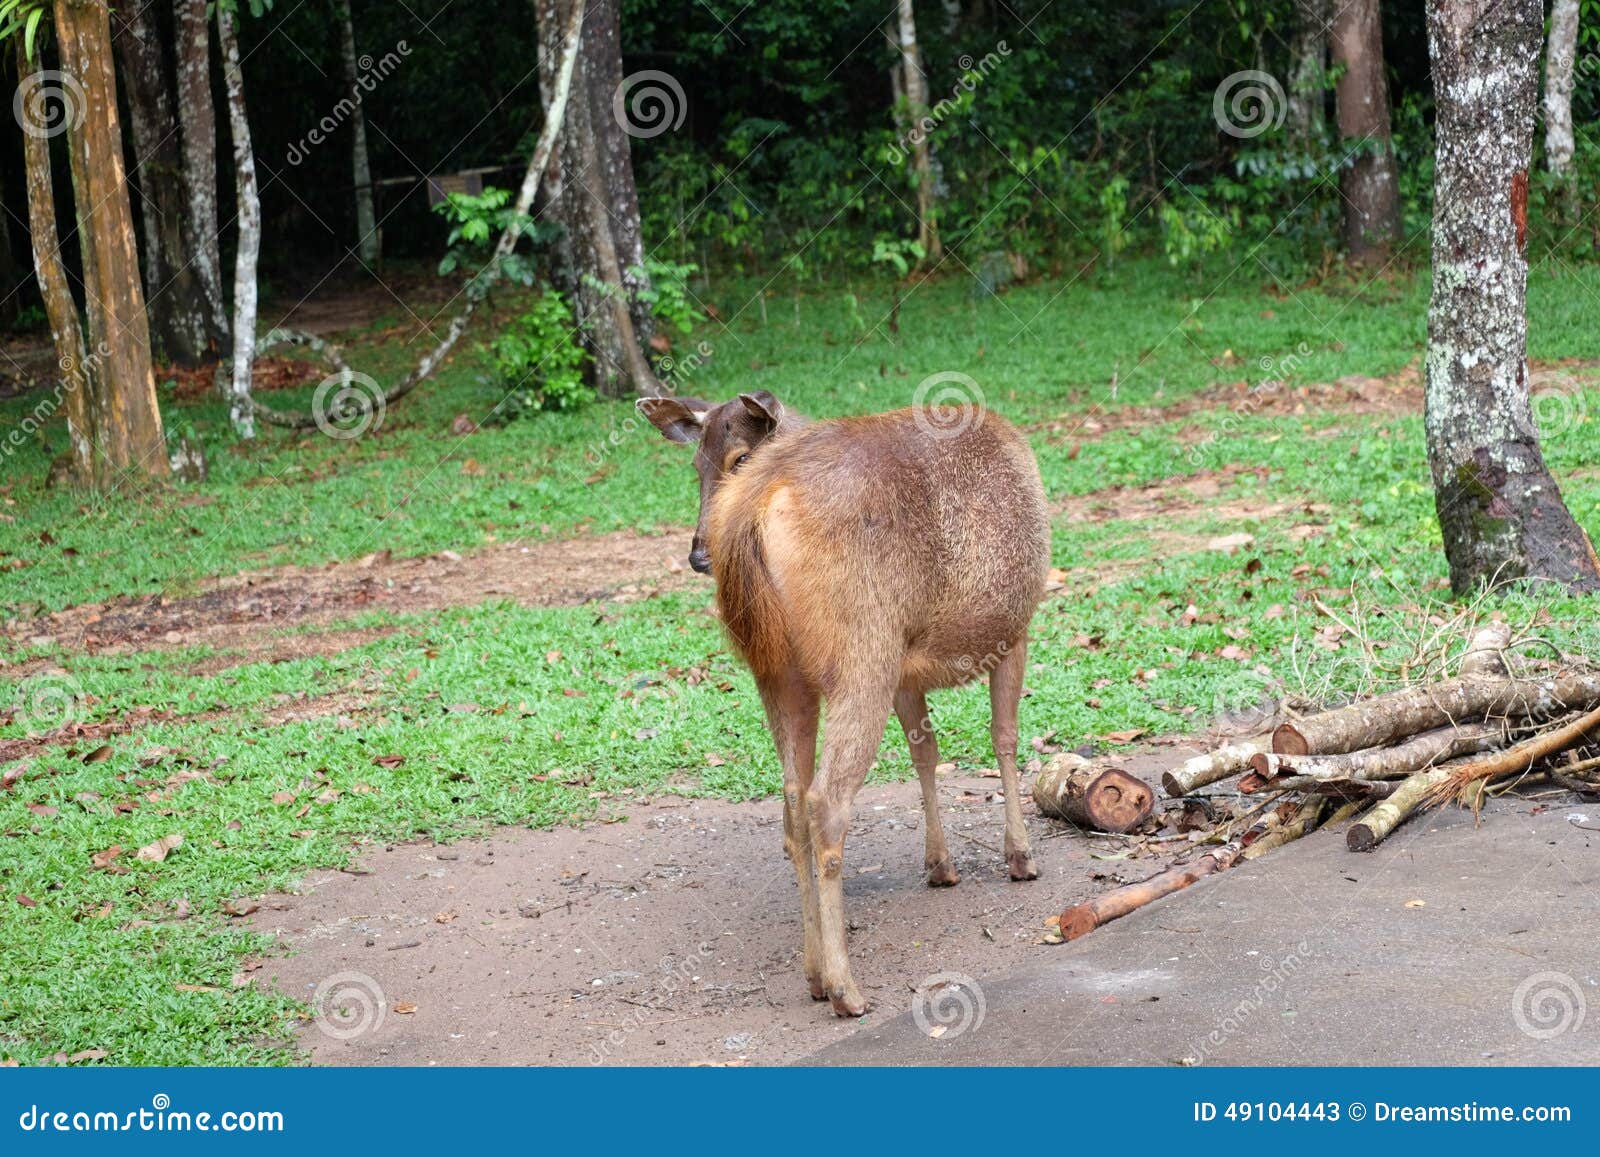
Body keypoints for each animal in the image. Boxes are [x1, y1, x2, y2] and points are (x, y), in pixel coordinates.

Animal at [639, 390, 1050, 1016]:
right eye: (695, 467)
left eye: (734, 459)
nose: (698, 554)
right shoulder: (1016, 626)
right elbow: (1003, 738)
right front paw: (1020, 857)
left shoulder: (908, 666)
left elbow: (927, 752)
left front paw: (941, 864)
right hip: (862, 650)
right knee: (826, 801)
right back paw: (845, 988)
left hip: (780, 673)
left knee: (791, 803)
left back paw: (813, 974)